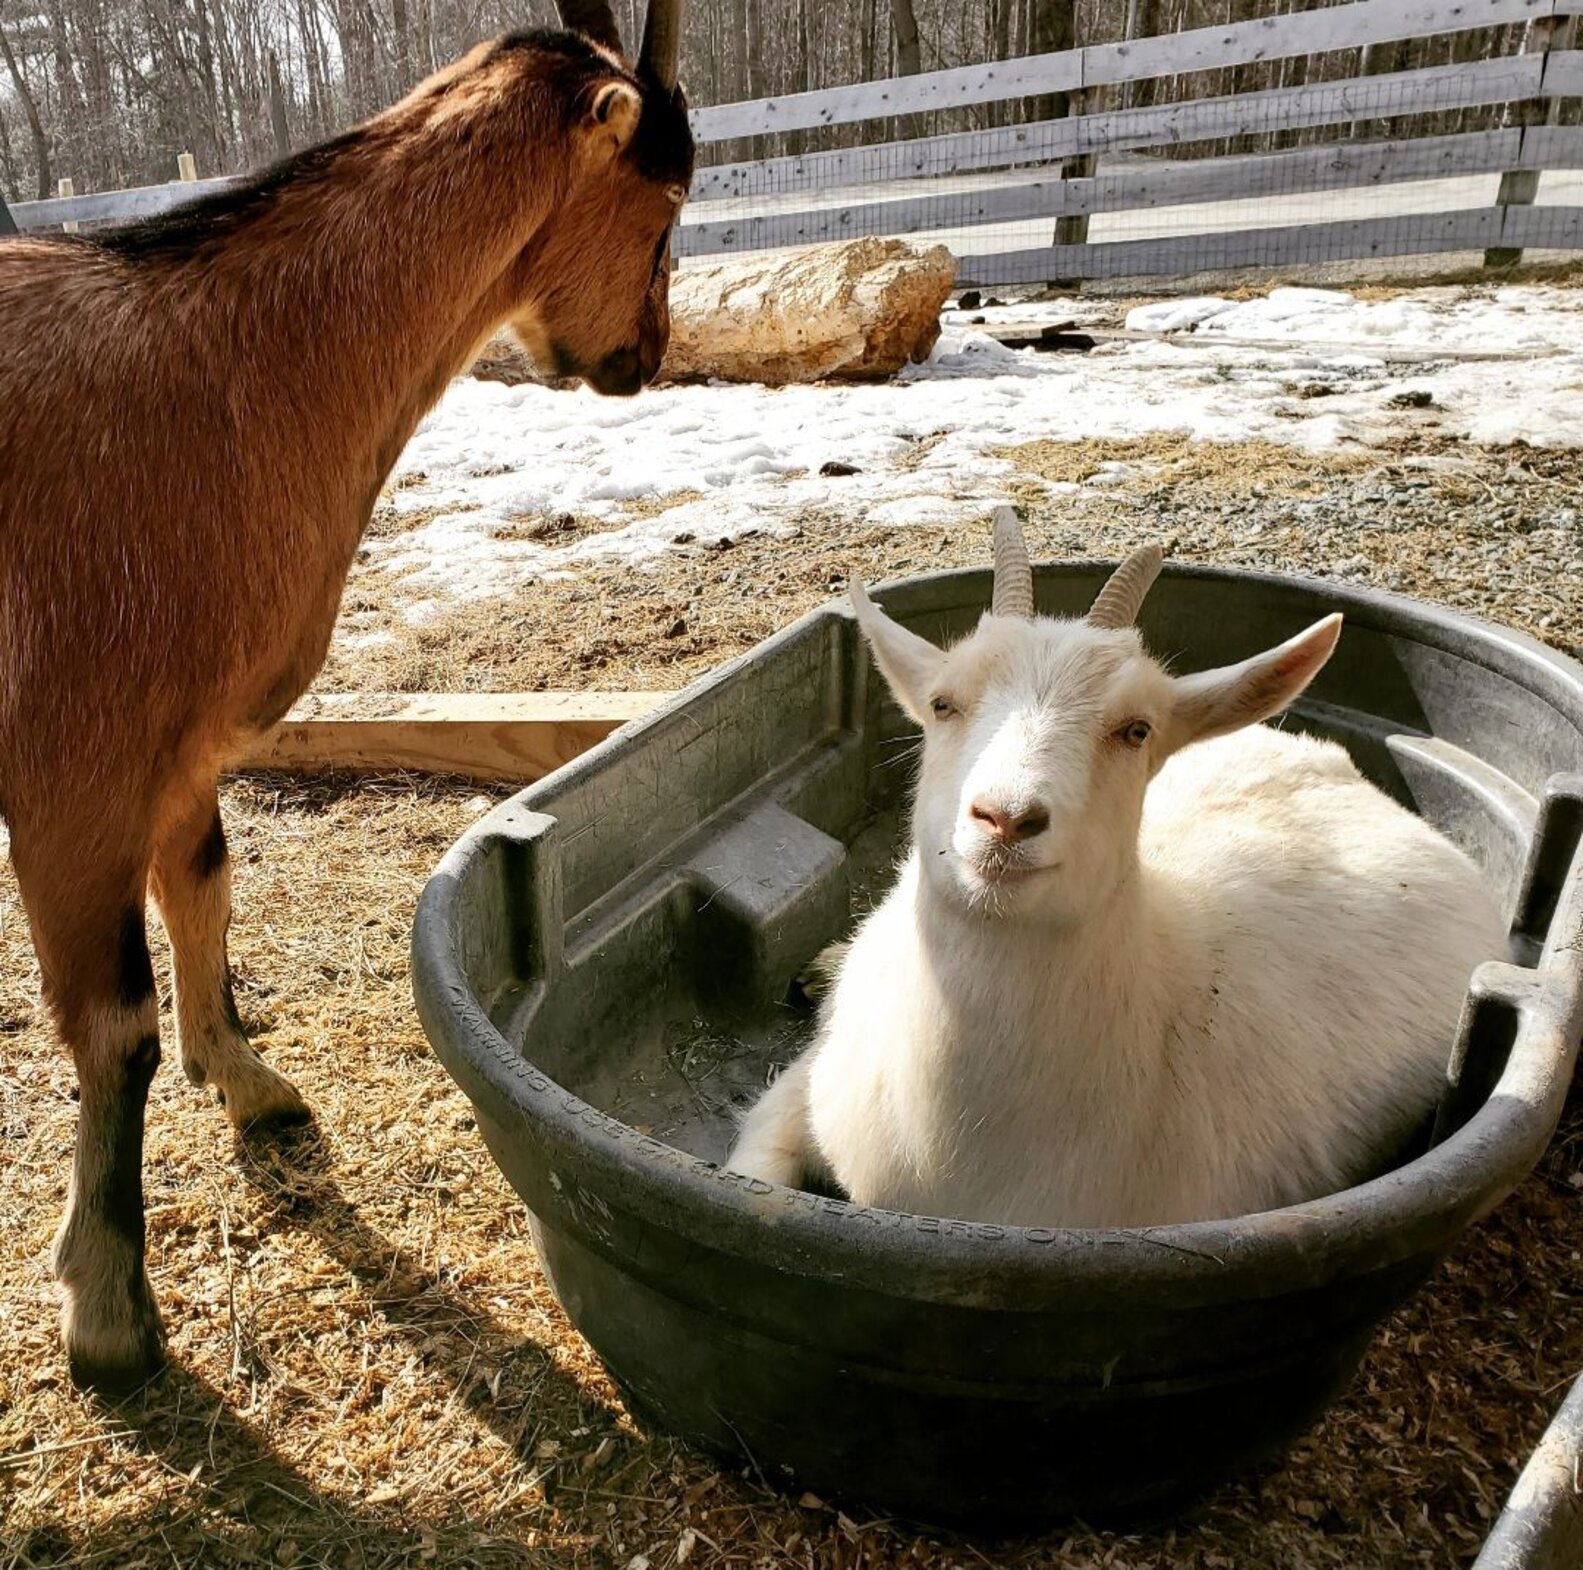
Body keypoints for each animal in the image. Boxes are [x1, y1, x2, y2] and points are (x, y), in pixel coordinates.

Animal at [0, 0, 690, 1394]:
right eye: (669, 201)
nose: (643, 356)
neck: (223, 367)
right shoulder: (73, 755)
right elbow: (114, 1024)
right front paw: (109, 1311)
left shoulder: (183, 738)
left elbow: (206, 886)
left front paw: (248, 1082)